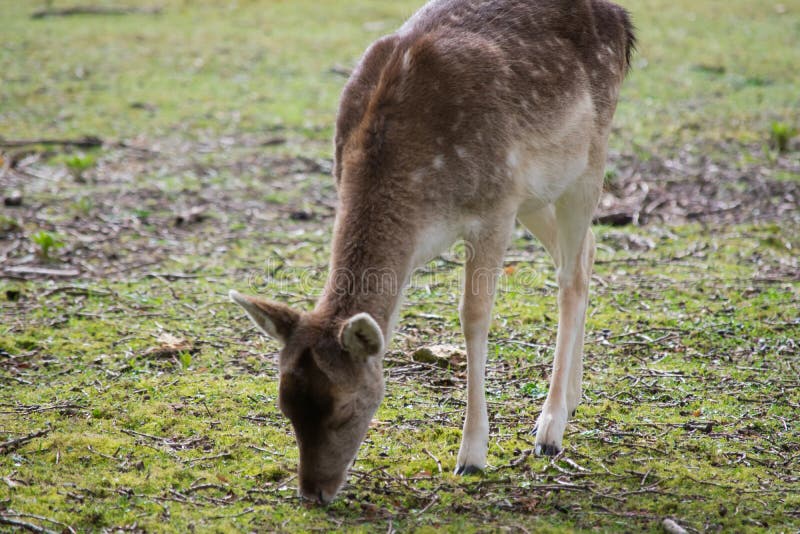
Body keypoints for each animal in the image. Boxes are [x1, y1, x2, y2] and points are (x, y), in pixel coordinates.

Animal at [230, 0, 635, 504]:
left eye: (345, 409)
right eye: (285, 406)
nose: (313, 493)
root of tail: (622, 20)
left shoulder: (495, 207)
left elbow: (473, 317)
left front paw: (472, 455)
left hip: (587, 159)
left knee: (571, 276)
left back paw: (550, 428)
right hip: (538, 190)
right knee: (585, 251)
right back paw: (574, 397)